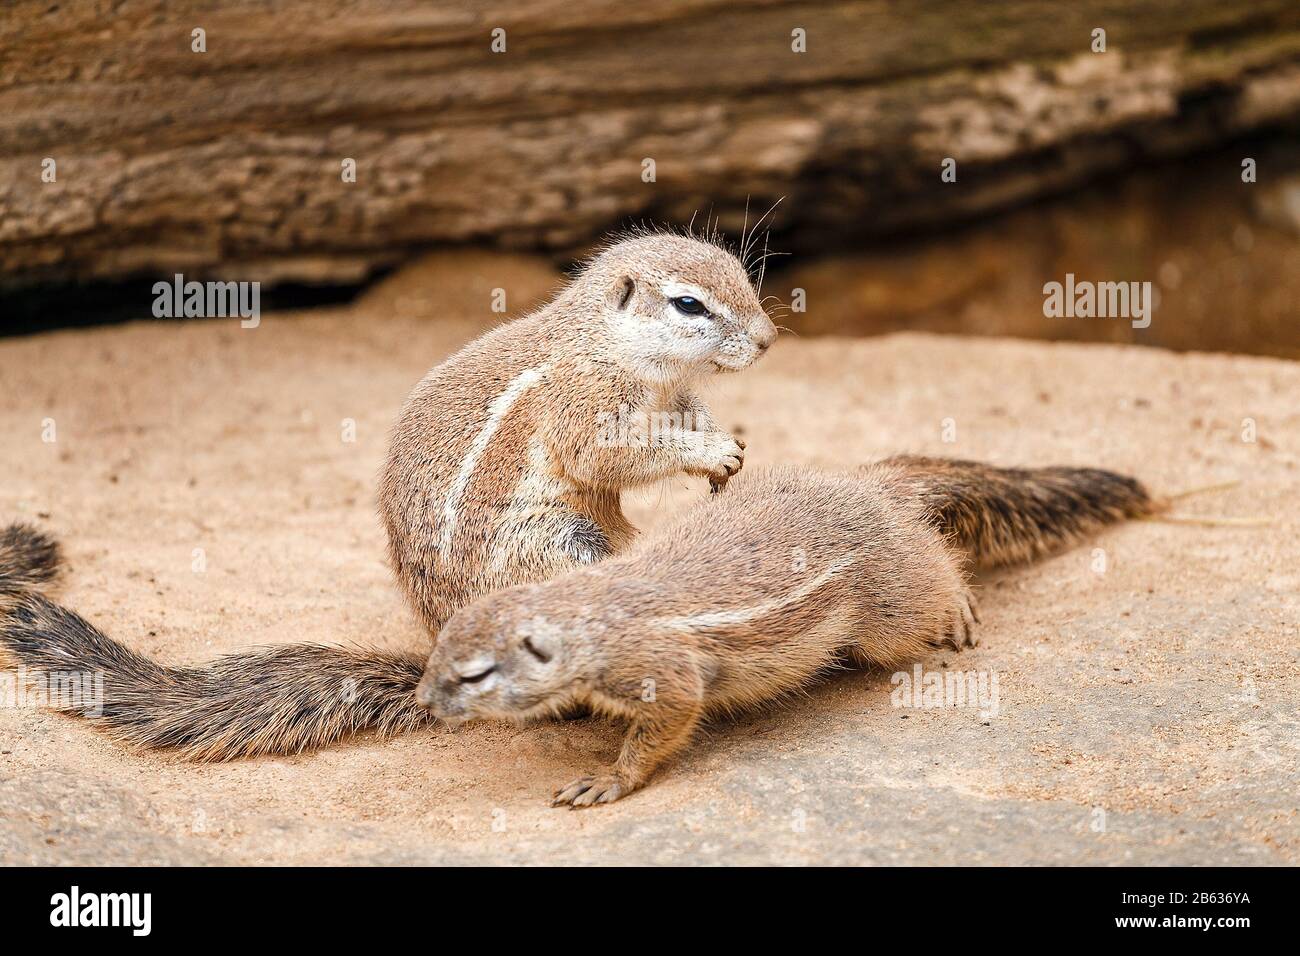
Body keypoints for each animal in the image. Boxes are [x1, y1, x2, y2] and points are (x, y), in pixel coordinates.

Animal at [0, 230, 777, 761]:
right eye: (689, 305)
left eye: (743, 275)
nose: (770, 339)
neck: (611, 346)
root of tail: (441, 659)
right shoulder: (583, 406)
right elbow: (608, 456)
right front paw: (712, 453)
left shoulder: (670, 396)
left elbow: (685, 419)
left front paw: (723, 453)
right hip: (561, 554)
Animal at [0, 456, 1154, 773]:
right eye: (438, 663)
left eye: (474, 672)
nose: (432, 700)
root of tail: (870, 483)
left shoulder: (663, 667)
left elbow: (671, 720)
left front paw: (610, 778)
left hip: (884, 596)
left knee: (932, 581)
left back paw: (954, 615)